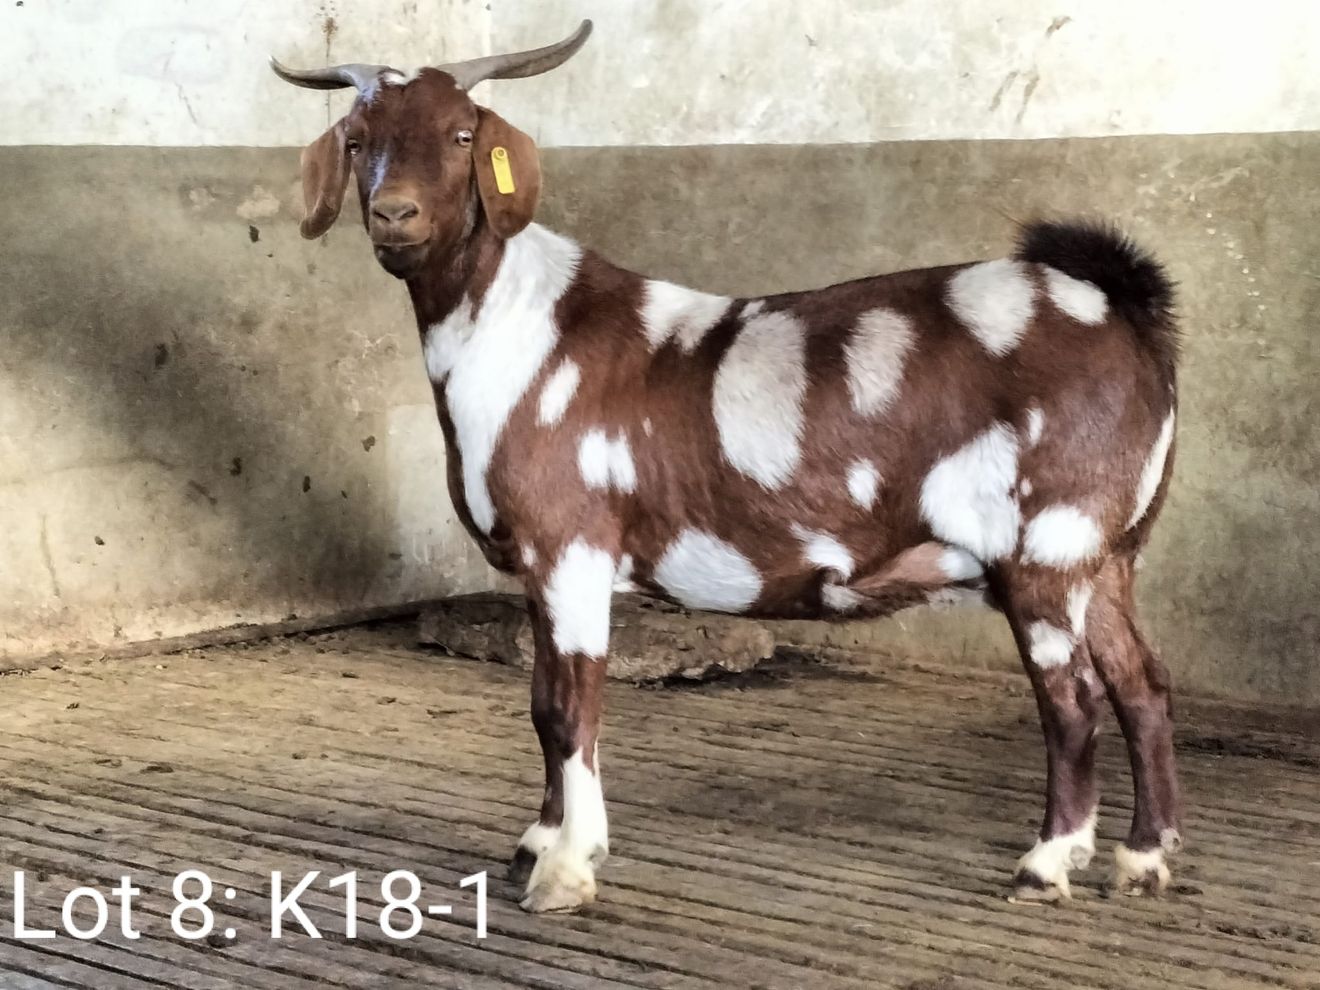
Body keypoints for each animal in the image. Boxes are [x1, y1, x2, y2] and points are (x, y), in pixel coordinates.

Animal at [272, 20, 1183, 913]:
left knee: (1073, 701)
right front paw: (537, 842)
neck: (517, 324)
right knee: (1141, 683)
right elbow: (539, 702)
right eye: (357, 139)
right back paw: (1144, 857)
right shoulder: (538, 565)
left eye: (463, 133)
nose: (395, 214)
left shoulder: (572, 544)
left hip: (1047, 546)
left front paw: (567, 868)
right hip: (1108, 553)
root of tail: (1121, 306)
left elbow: (571, 706)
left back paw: (1048, 862)